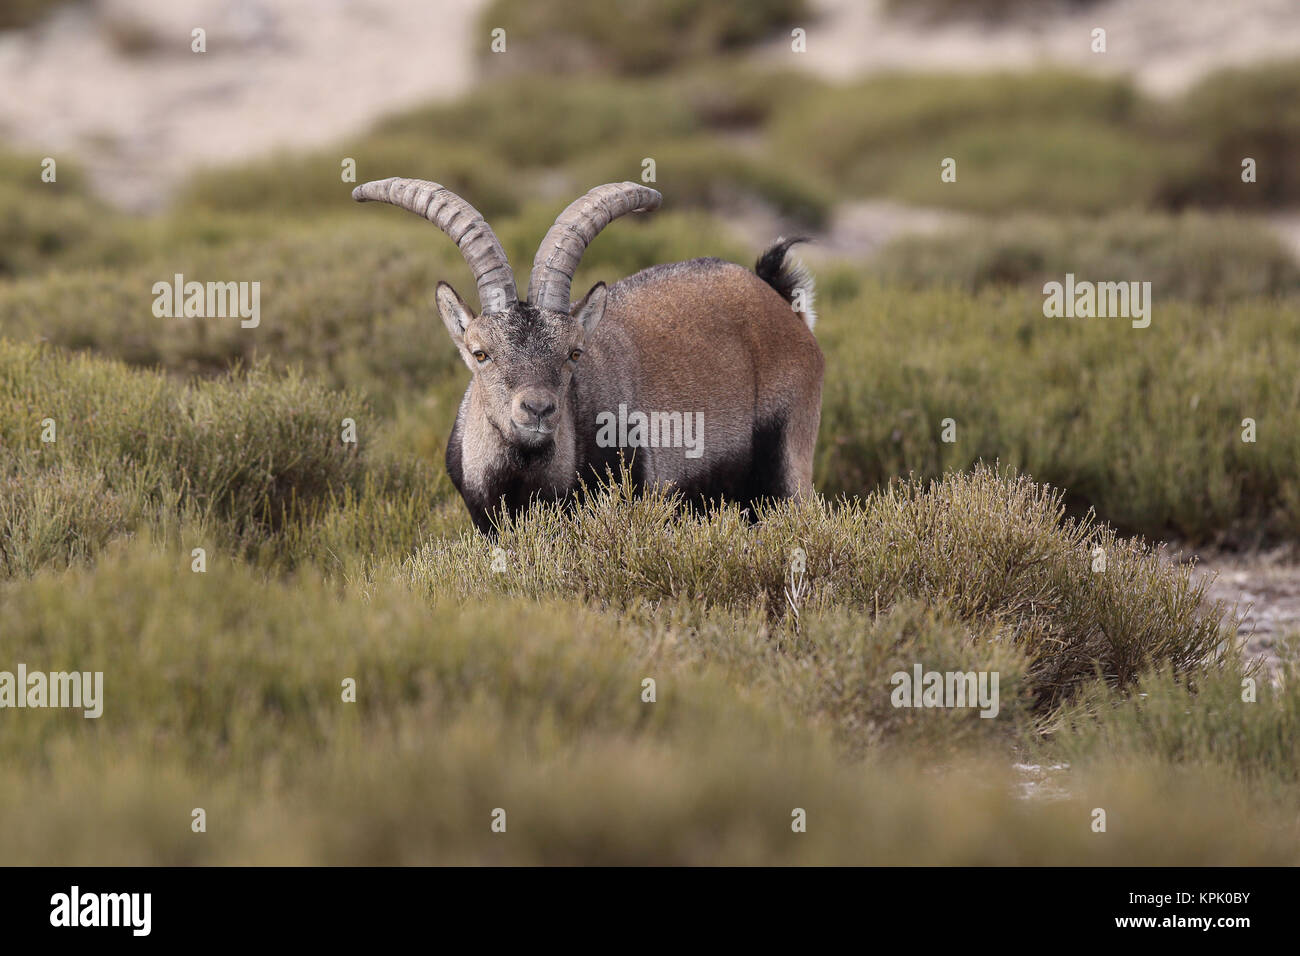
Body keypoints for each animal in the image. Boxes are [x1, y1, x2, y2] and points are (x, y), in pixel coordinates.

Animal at [353, 178, 824, 533]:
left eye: (574, 352)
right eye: (480, 353)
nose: (538, 409)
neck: (523, 480)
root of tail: (779, 299)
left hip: (788, 465)